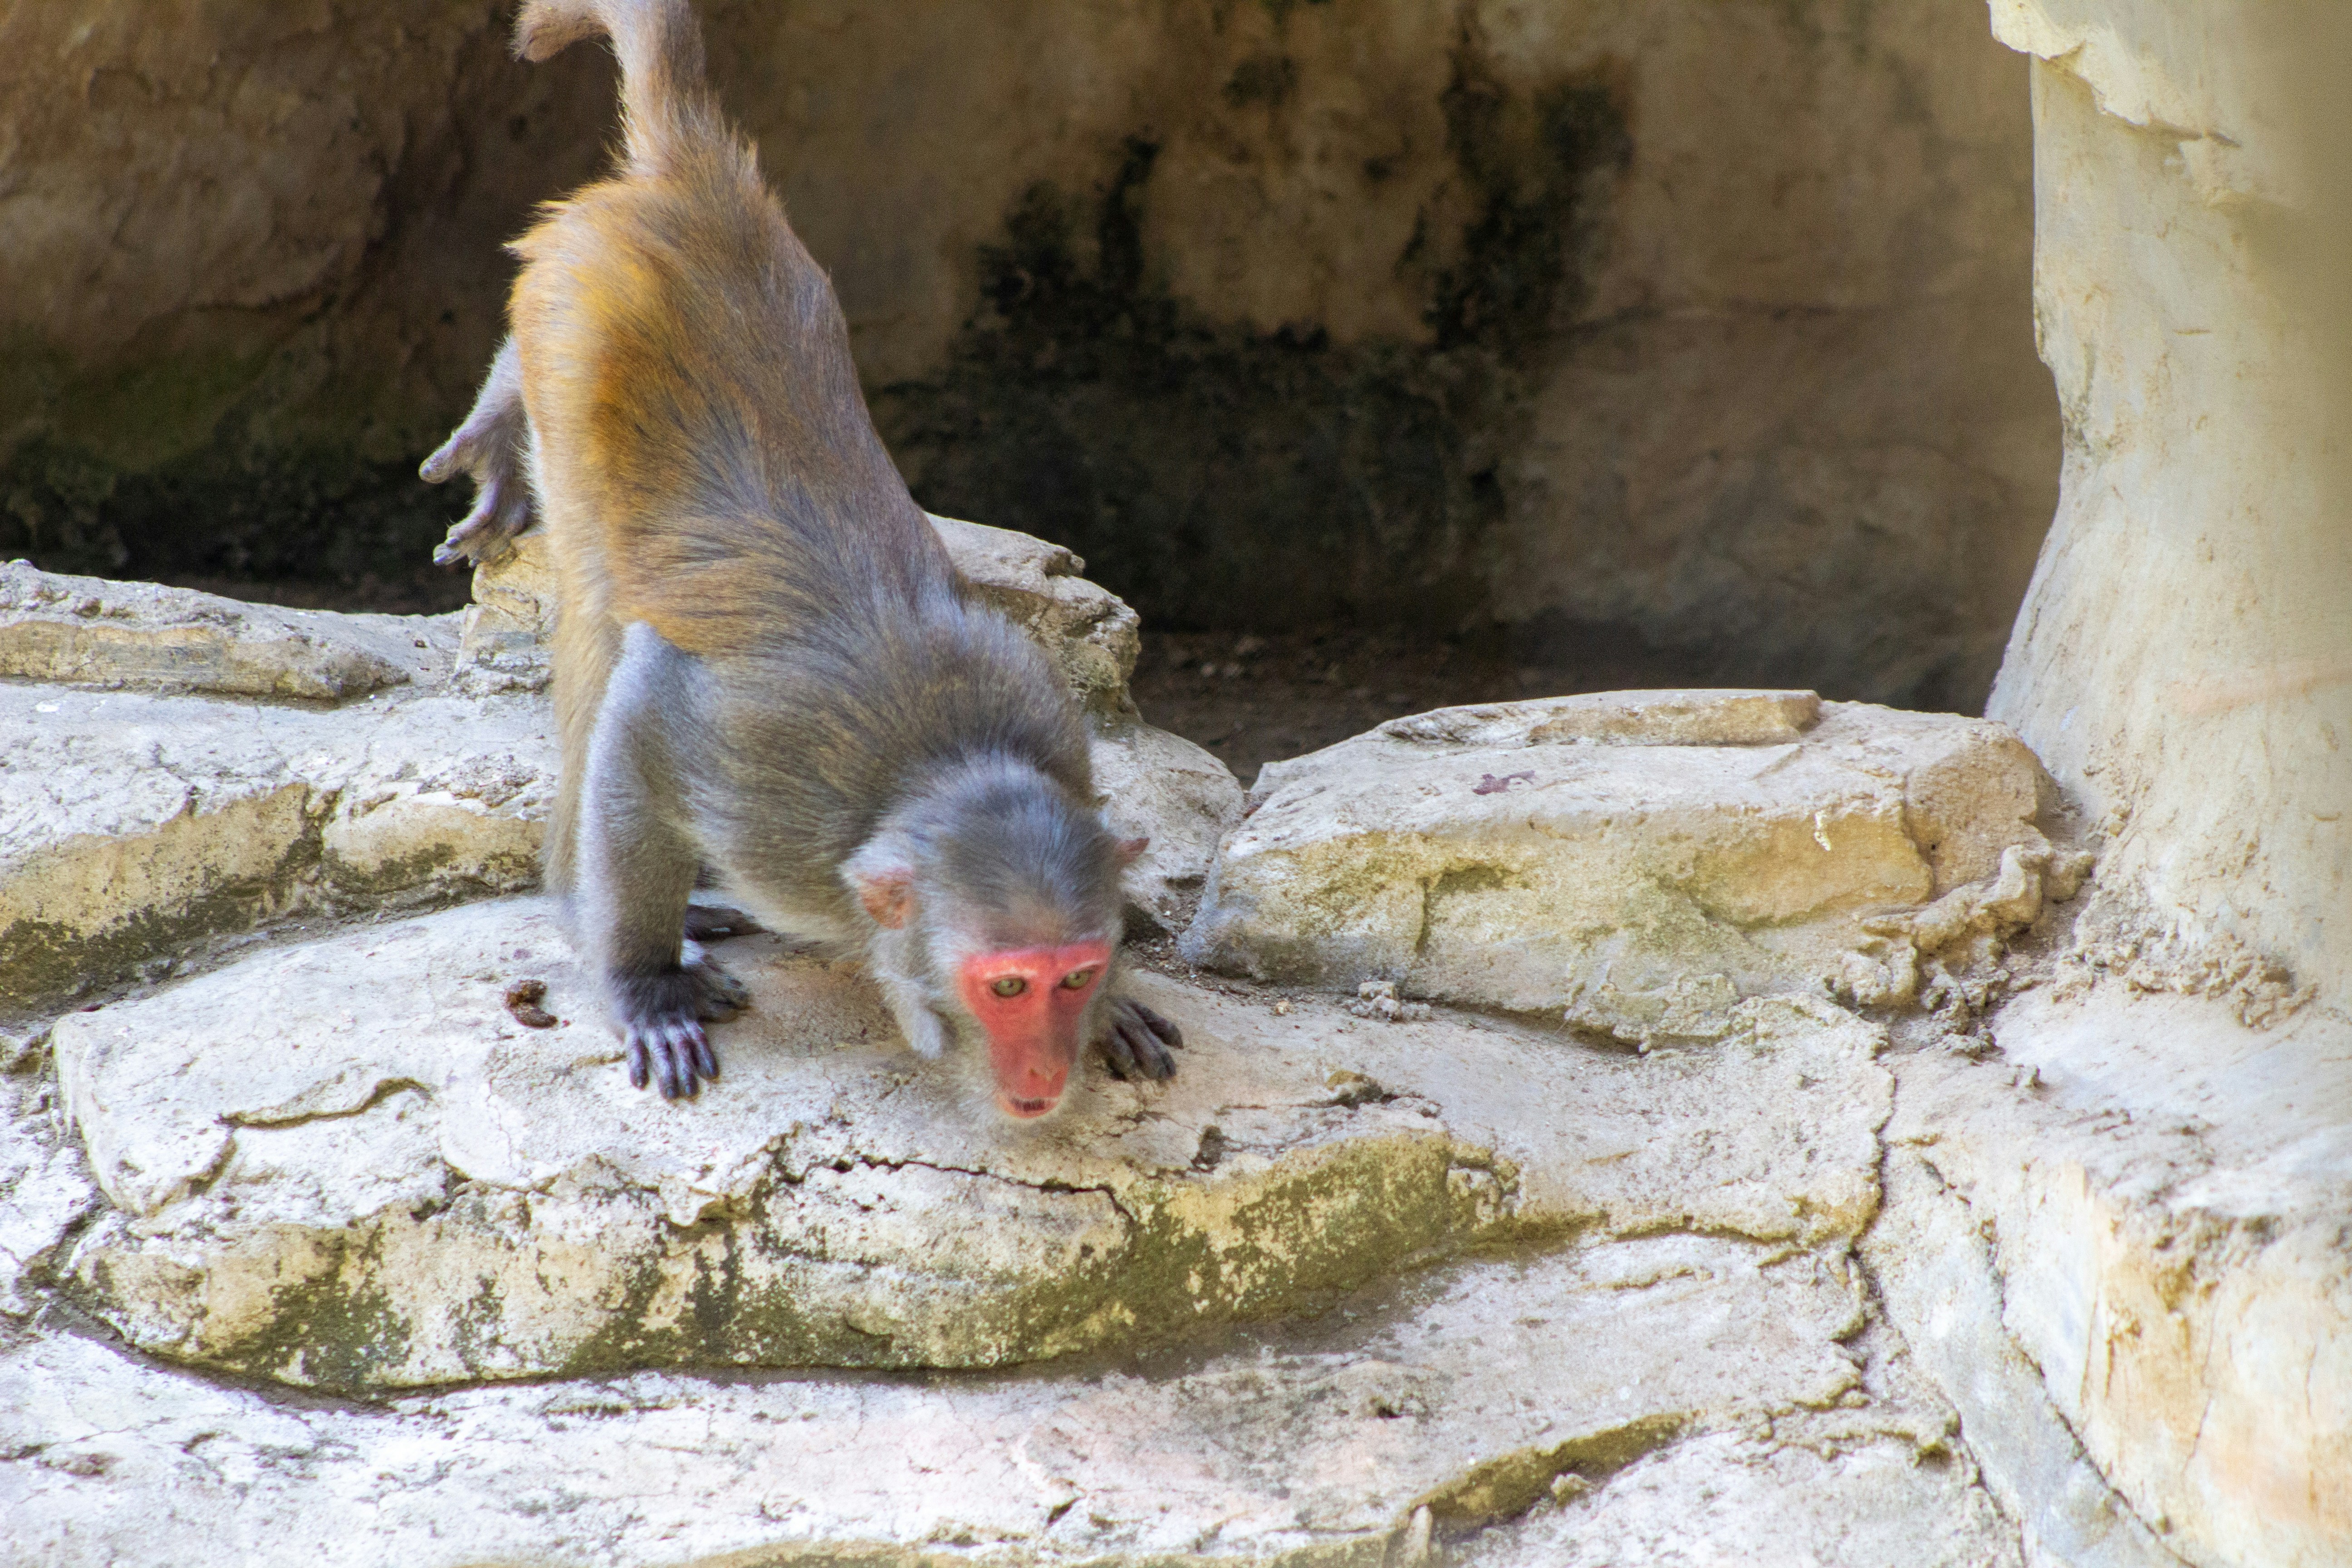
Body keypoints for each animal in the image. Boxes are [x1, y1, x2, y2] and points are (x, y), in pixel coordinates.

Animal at [419, 0, 1179, 1114]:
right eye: (1006, 986)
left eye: (1073, 974)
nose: (1042, 1075)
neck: (937, 765)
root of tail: (696, 187)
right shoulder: (763, 791)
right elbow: (642, 713)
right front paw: (643, 982)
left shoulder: (1058, 733)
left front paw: (1120, 1006)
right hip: (569, 305)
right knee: (601, 628)